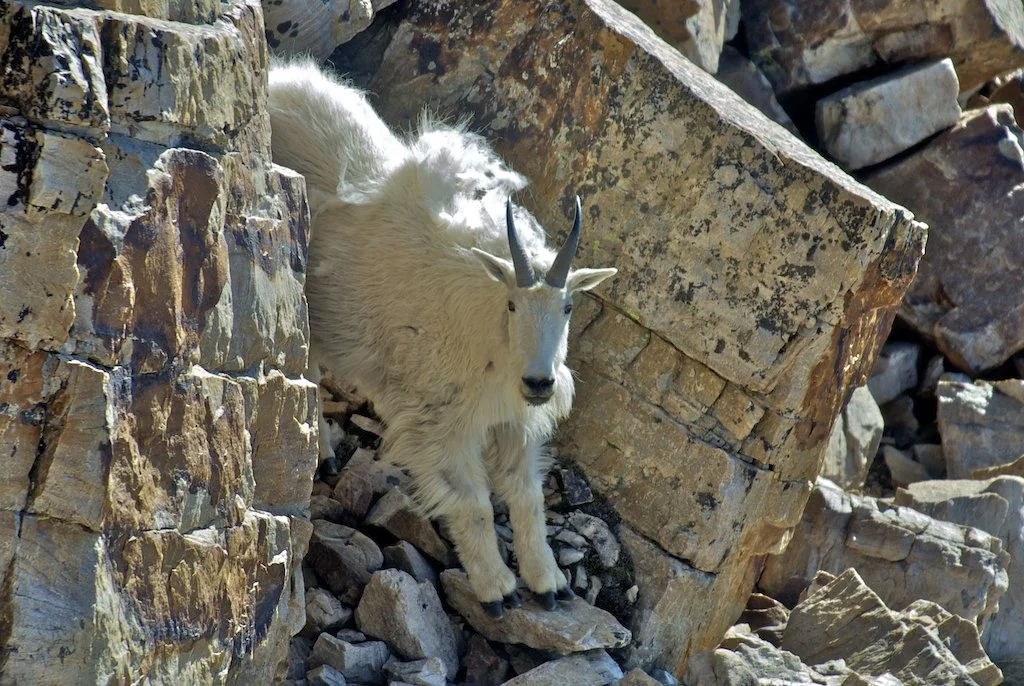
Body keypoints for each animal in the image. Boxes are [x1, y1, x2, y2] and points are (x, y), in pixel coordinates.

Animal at [267, 59, 616, 616]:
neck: (490, 339)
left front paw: (549, 583)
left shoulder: (511, 421)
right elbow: (473, 504)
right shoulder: (442, 421)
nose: (540, 383)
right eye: (512, 304)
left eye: (567, 306)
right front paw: (496, 590)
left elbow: (527, 496)